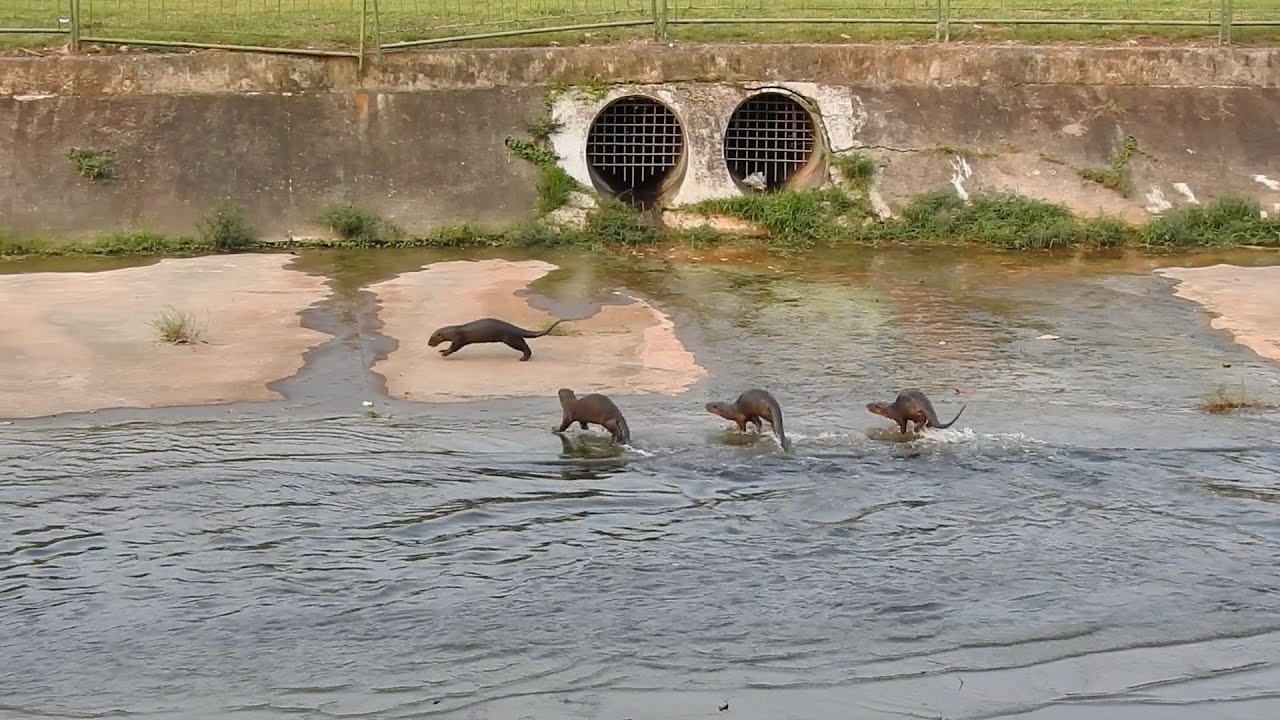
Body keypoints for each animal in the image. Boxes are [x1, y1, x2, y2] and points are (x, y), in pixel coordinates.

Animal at [427, 317, 565, 361]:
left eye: (431, 338)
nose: (428, 344)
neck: (455, 330)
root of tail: (512, 327)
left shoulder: (459, 339)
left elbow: (454, 347)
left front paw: (444, 353)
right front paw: (442, 350)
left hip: (510, 339)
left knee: (524, 347)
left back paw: (523, 358)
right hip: (514, 338)